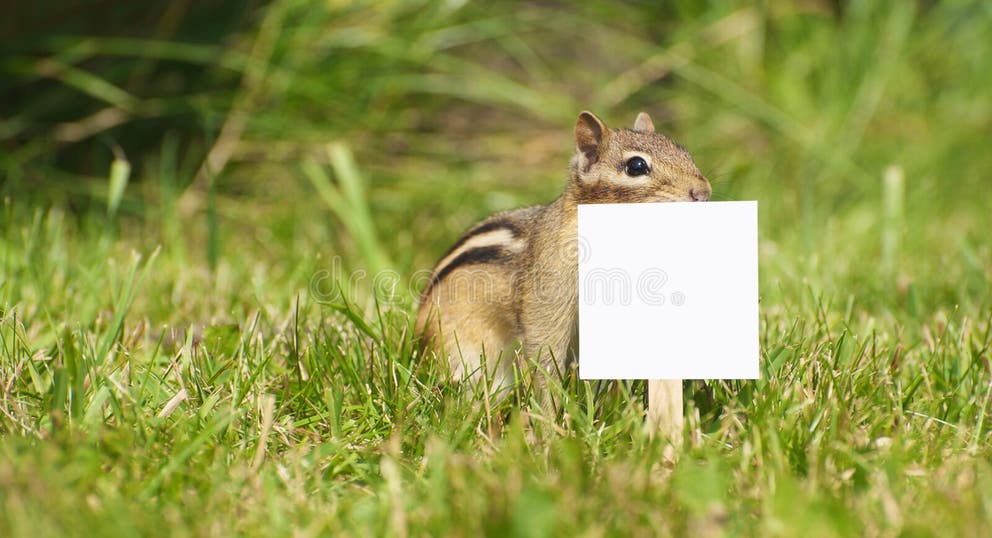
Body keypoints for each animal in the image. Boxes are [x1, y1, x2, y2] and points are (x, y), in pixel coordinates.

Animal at [416, 111, 712, 403]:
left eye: (683, 152)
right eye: (636, 166)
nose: (703, 192)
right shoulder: (547, 298)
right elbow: (545, 355)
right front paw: (549, 411)